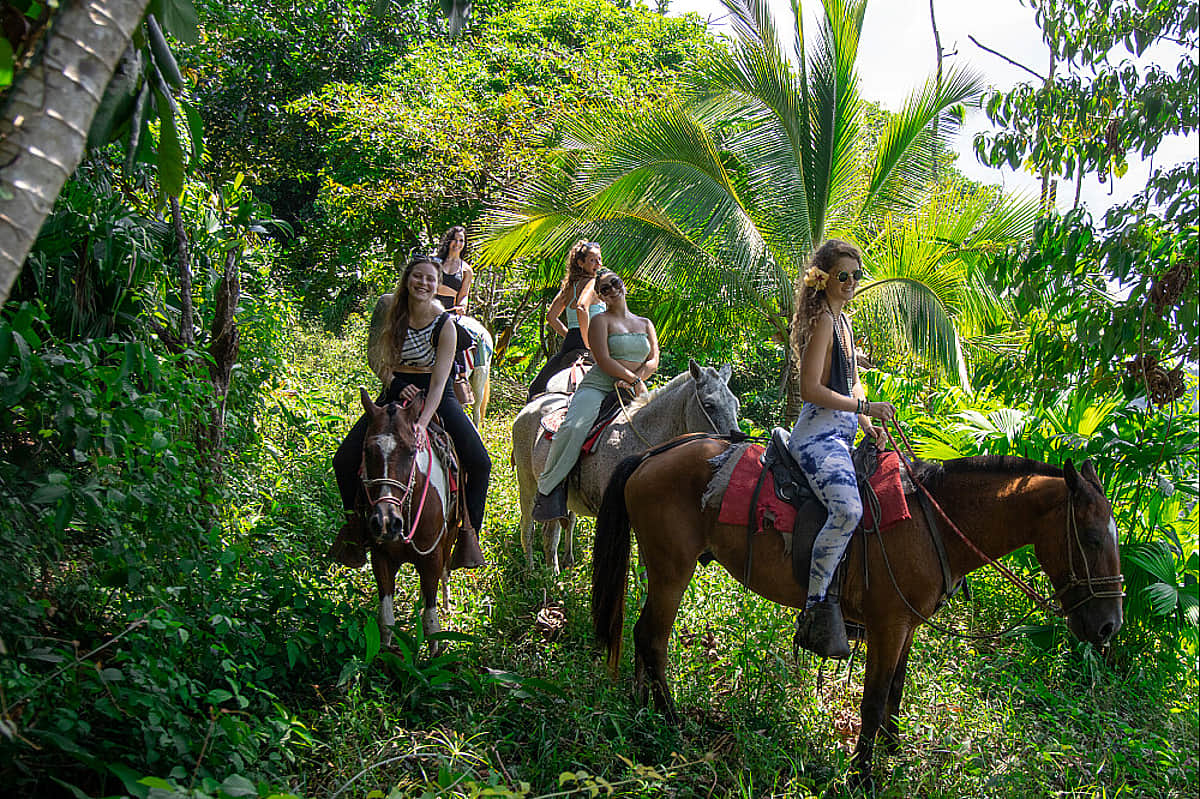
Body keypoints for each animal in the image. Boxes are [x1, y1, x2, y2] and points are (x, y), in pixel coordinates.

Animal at [352, 388, 460, 652]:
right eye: (367, 451)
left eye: (412, 452)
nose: (386, 522)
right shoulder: (381, 557)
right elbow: (386, 621)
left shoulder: (432, 557)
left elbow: (432, 626)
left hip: (451, 536)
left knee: (445, 572)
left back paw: (446, 603)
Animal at [513, 359, 739, 573]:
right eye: (709, 405)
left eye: (735, 405)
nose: (734, 444)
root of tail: (530, 407)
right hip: (527, 484)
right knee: (530, 530)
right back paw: (533, 573)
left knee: (554, 531)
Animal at [595, 439, 1128, 787]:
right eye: (1091, 538)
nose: (1109, 627)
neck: (934, 523)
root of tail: (652, 456)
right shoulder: (887, 625)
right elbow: (872, 701)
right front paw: (862, 776)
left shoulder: (906, 625)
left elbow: (894, 692)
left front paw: (893, 753)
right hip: (672, 569)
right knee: (652, 639)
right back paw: (671, 722)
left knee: (643, 635)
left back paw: (642, 708)